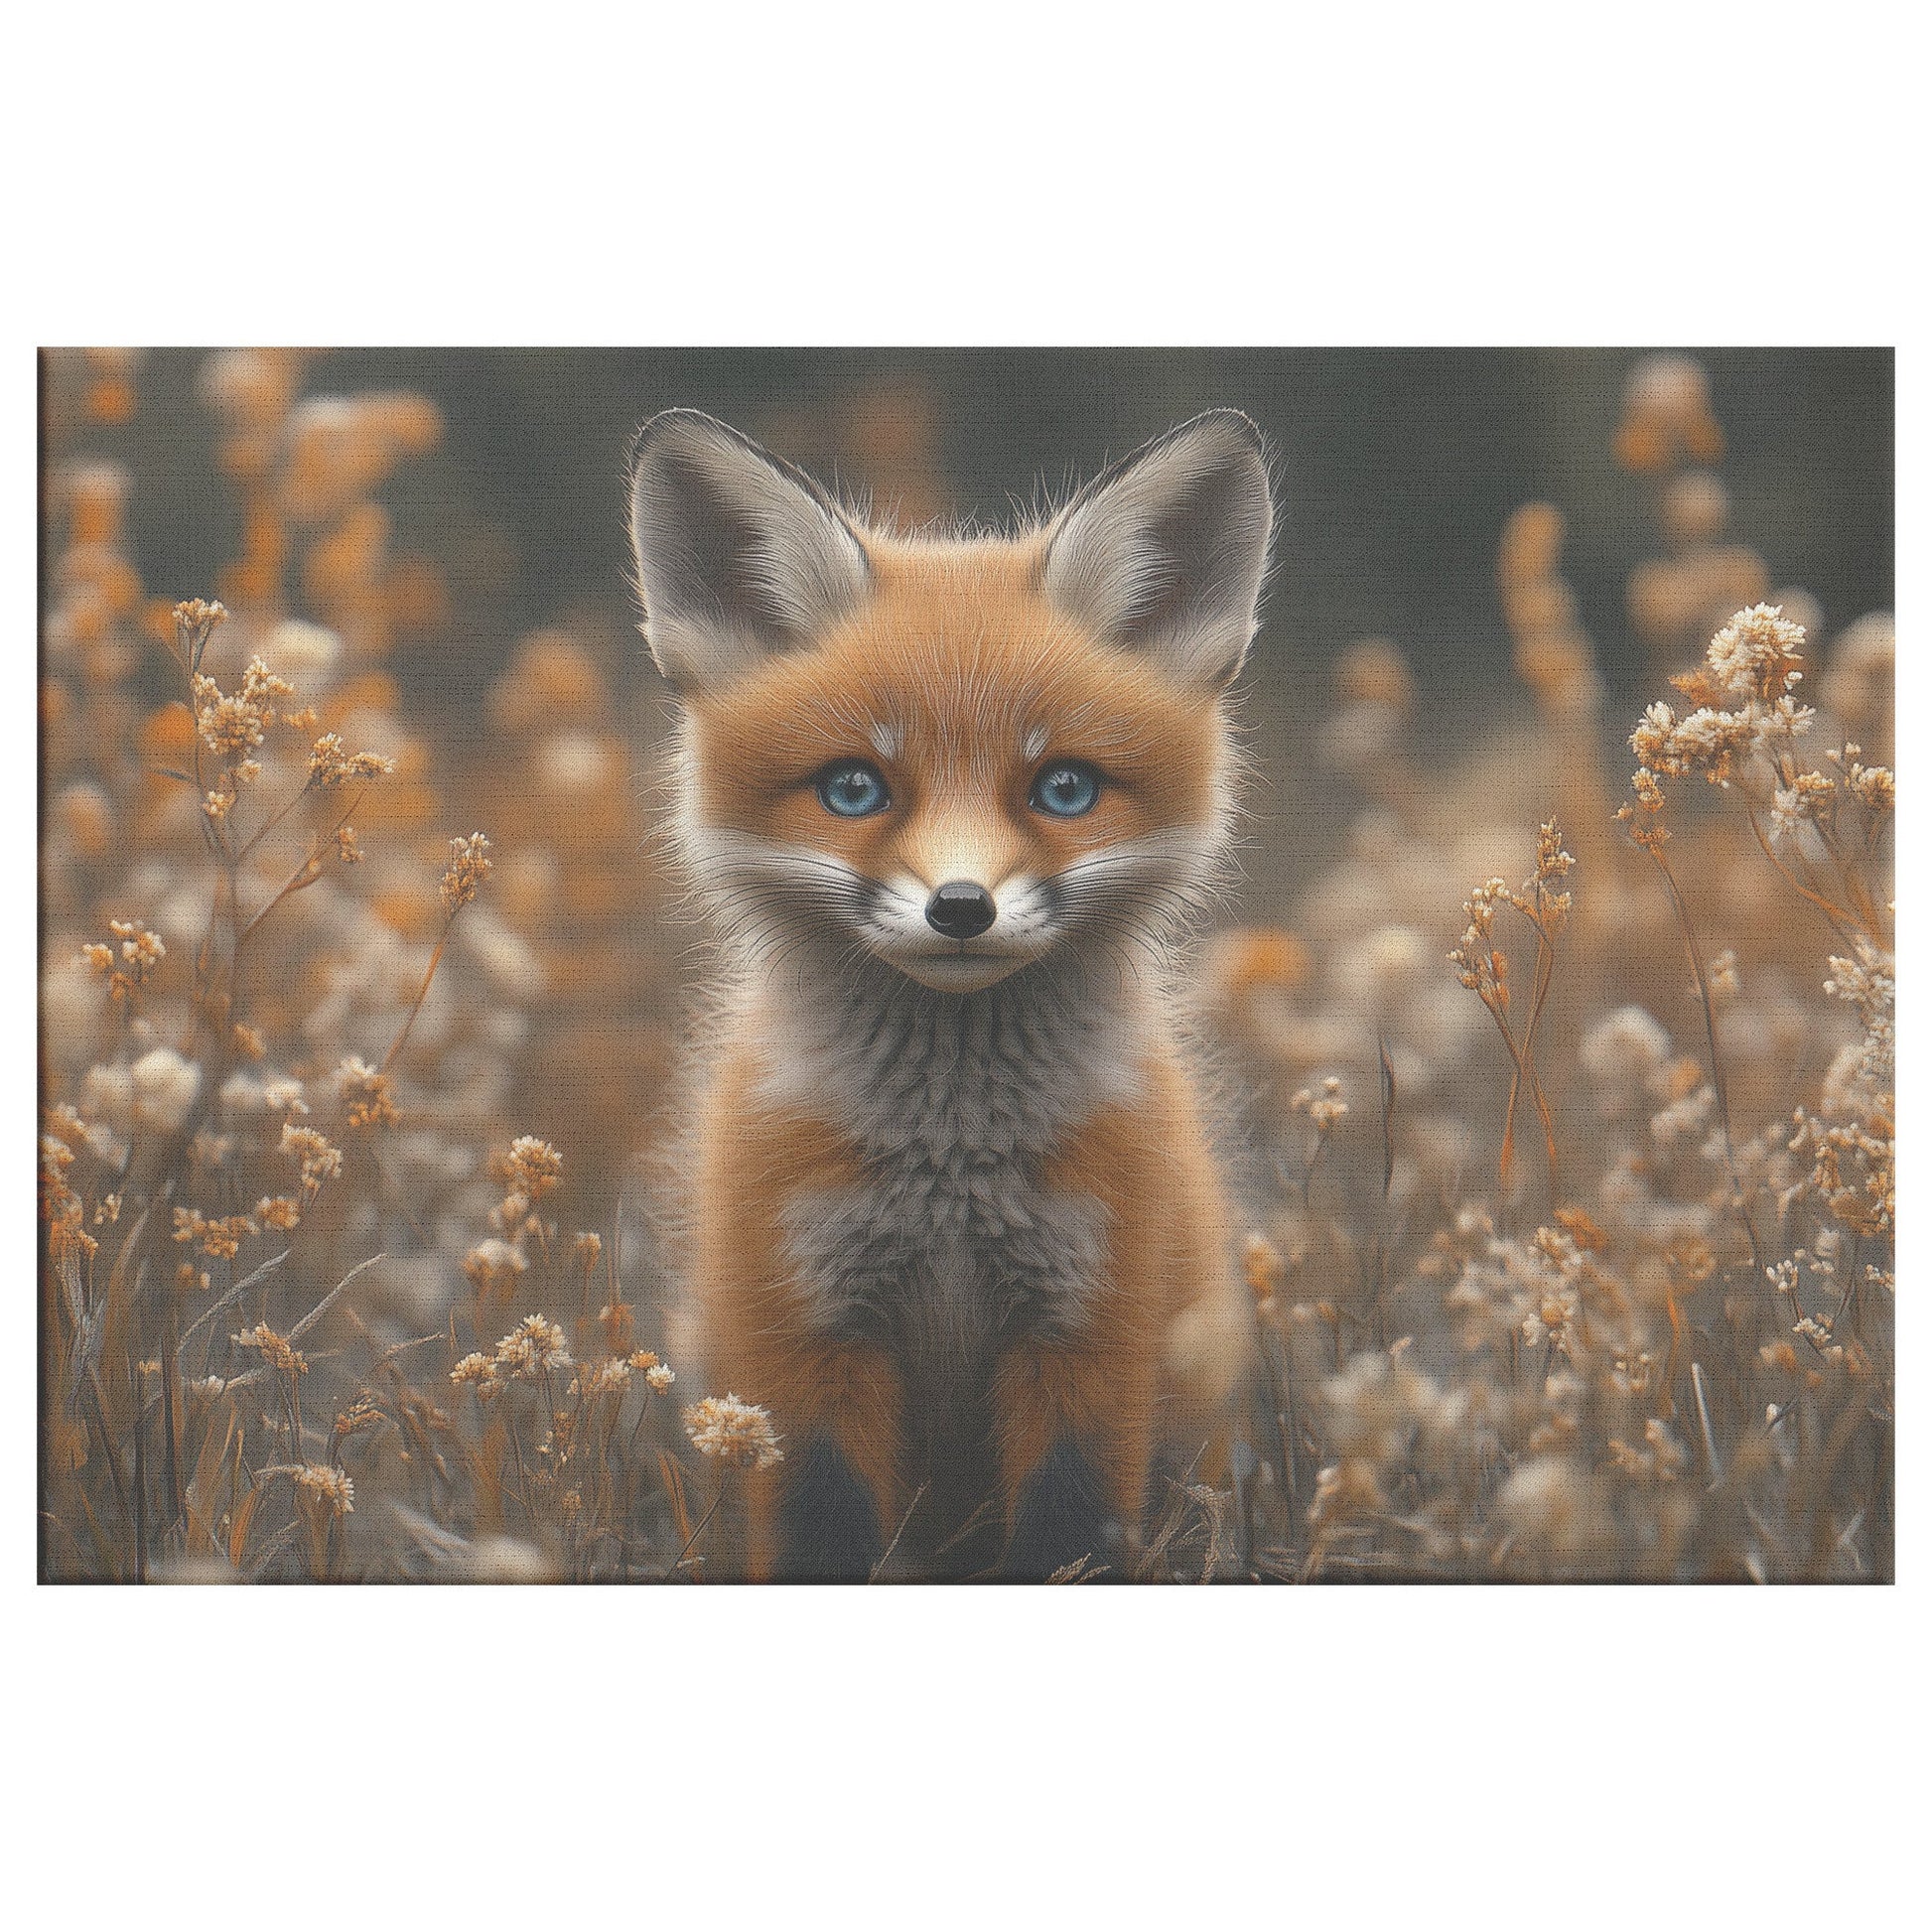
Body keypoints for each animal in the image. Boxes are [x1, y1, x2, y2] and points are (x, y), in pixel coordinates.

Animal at [627, 405, 1272, 1580]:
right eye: (853, 788)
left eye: (1063, 787)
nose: (961, 907)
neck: (950, 1168)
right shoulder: (804, 1331)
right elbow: (819, 1534)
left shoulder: (1089, 1326)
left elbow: (1070, 1536)